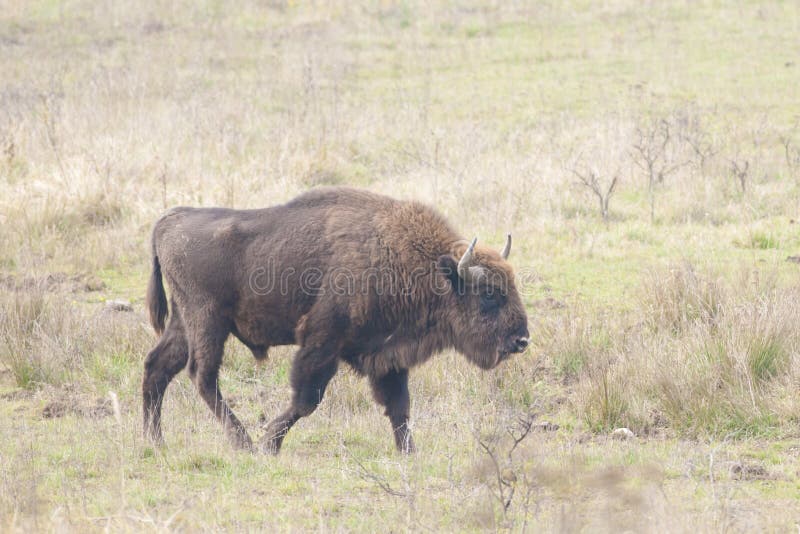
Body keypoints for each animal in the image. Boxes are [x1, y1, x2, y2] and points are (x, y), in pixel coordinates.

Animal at [142, 187, 530, 454]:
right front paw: (269, 444)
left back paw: (153, 440)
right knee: (202, 376)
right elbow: (306, 400)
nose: (521, 340)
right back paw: (243, 443)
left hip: (184, 323)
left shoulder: (389, 358)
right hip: (207, 320)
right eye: (489, 294)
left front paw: (410, 454)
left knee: (157, 367)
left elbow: (399, 407)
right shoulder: (322, 343)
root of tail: (168, 220)